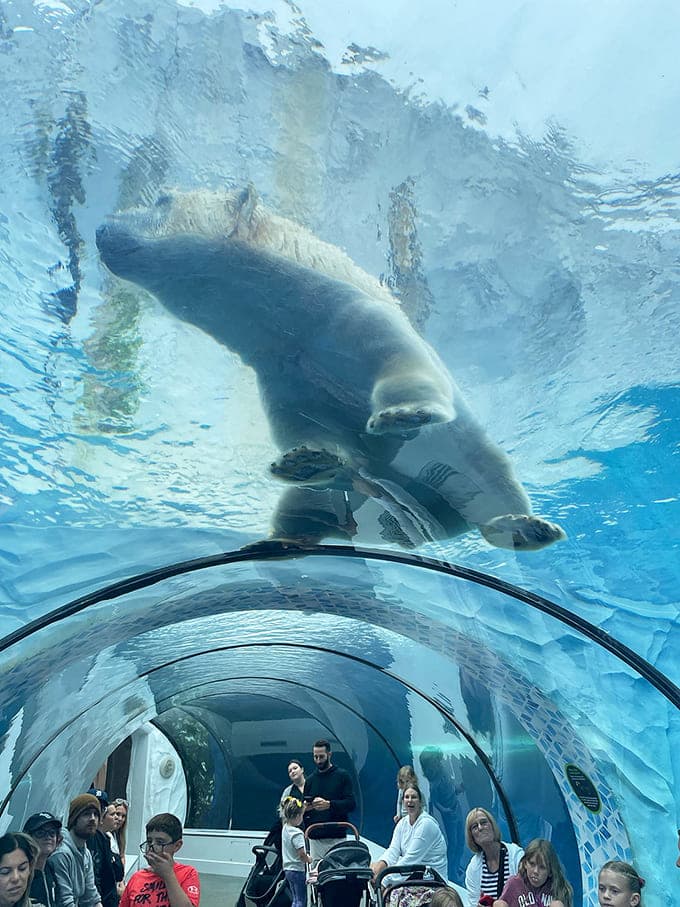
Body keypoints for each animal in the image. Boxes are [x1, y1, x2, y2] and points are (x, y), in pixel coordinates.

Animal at [96, 185, 565, 552]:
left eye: (162, 199)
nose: (101, 227)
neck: (292, 312)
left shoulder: (353, 320)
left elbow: (406, 369)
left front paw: (401, 415)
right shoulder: (284, 372)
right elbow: (303, 431)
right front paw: (305, 460)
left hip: (471, 466)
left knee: (497, 490)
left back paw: (526, 528)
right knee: (307, 508)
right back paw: (280, 538)